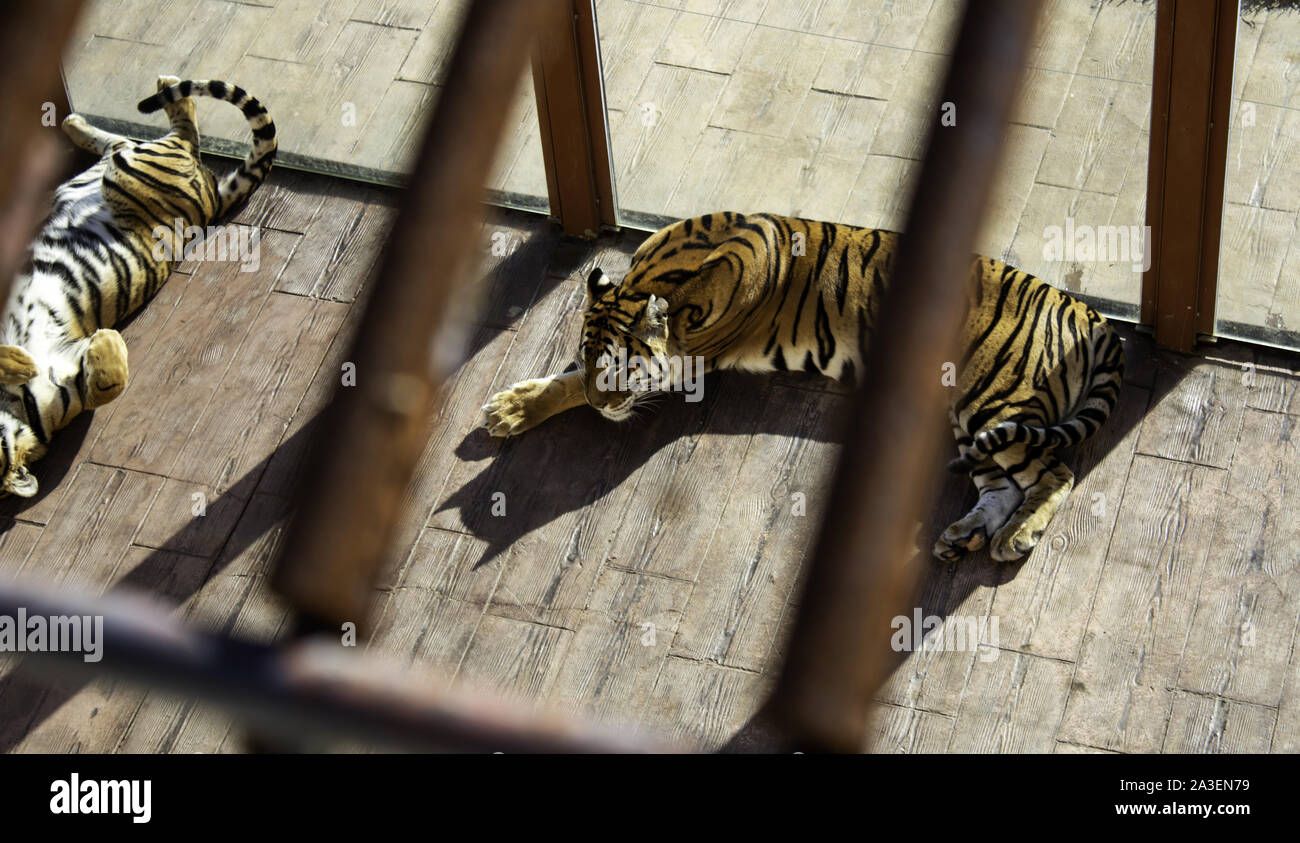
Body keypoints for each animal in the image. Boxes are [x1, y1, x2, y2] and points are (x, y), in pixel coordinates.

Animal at [0, 76, 276, 498]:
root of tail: (212, 201)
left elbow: (110, 383)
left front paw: (100, 341)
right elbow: (107, 383)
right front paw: (98, 343)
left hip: (129, 174)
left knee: (166, 134)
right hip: (121, 172)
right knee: (137, 140)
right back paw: (81, 121)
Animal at [481, 212, 1123, 562]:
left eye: (617, 370)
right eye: (591, 358)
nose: (602, 404)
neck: (650, 282)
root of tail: (1089, 311)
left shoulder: (689, 365)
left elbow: (569, 389)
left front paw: (516, 409)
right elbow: (563, 380)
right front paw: (516, 405)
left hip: (992, 401)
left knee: (1056, 473)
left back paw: (1017, 537)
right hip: (971, 417)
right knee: (1001, 485)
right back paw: (963, 537)